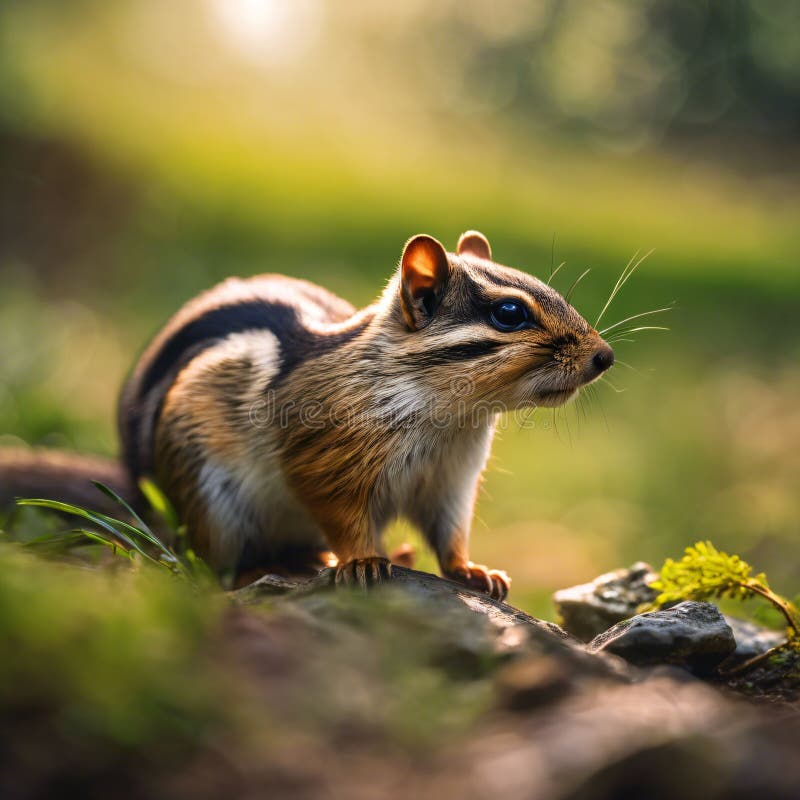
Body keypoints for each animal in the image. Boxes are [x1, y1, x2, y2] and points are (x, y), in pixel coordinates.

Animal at [0, 231, 613, 600]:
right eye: (509, 313)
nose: (604, 357)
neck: (451, 415)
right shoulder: (328, 459)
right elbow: (340, 512)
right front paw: (363, 562)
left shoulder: (450, 482)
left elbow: (450, 532)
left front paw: (472, 570)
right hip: (210, 501)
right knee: (209, 568)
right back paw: (271, 570)